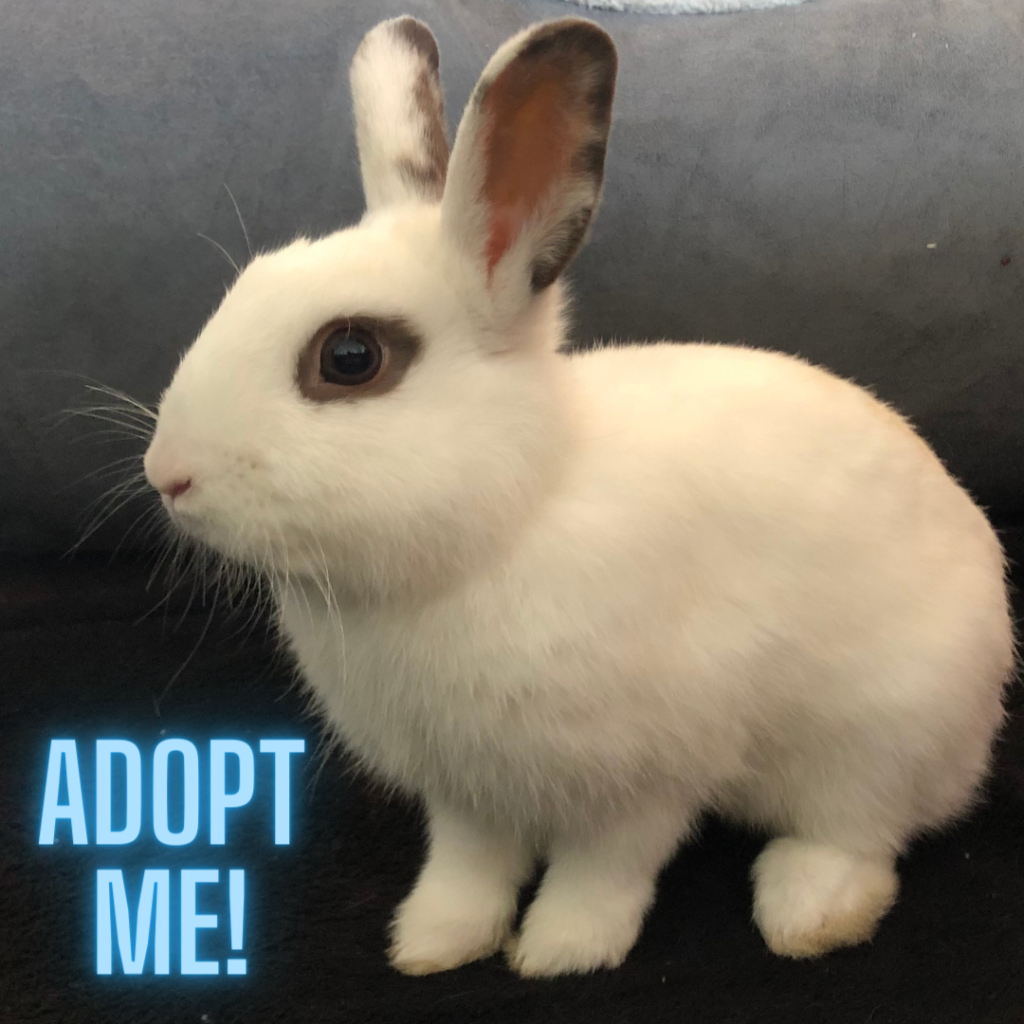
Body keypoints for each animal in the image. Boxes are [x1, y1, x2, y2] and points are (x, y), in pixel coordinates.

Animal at [143, 15, 1015, 978]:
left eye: (350, 356)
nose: (167, 473)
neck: (507, 521)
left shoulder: (649, 772)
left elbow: (607, 867)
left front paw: (562, 949)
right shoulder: (466, 790)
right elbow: (468, 865)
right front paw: (434, 942)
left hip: (878, 736)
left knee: (861, 831)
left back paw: (808, 910)